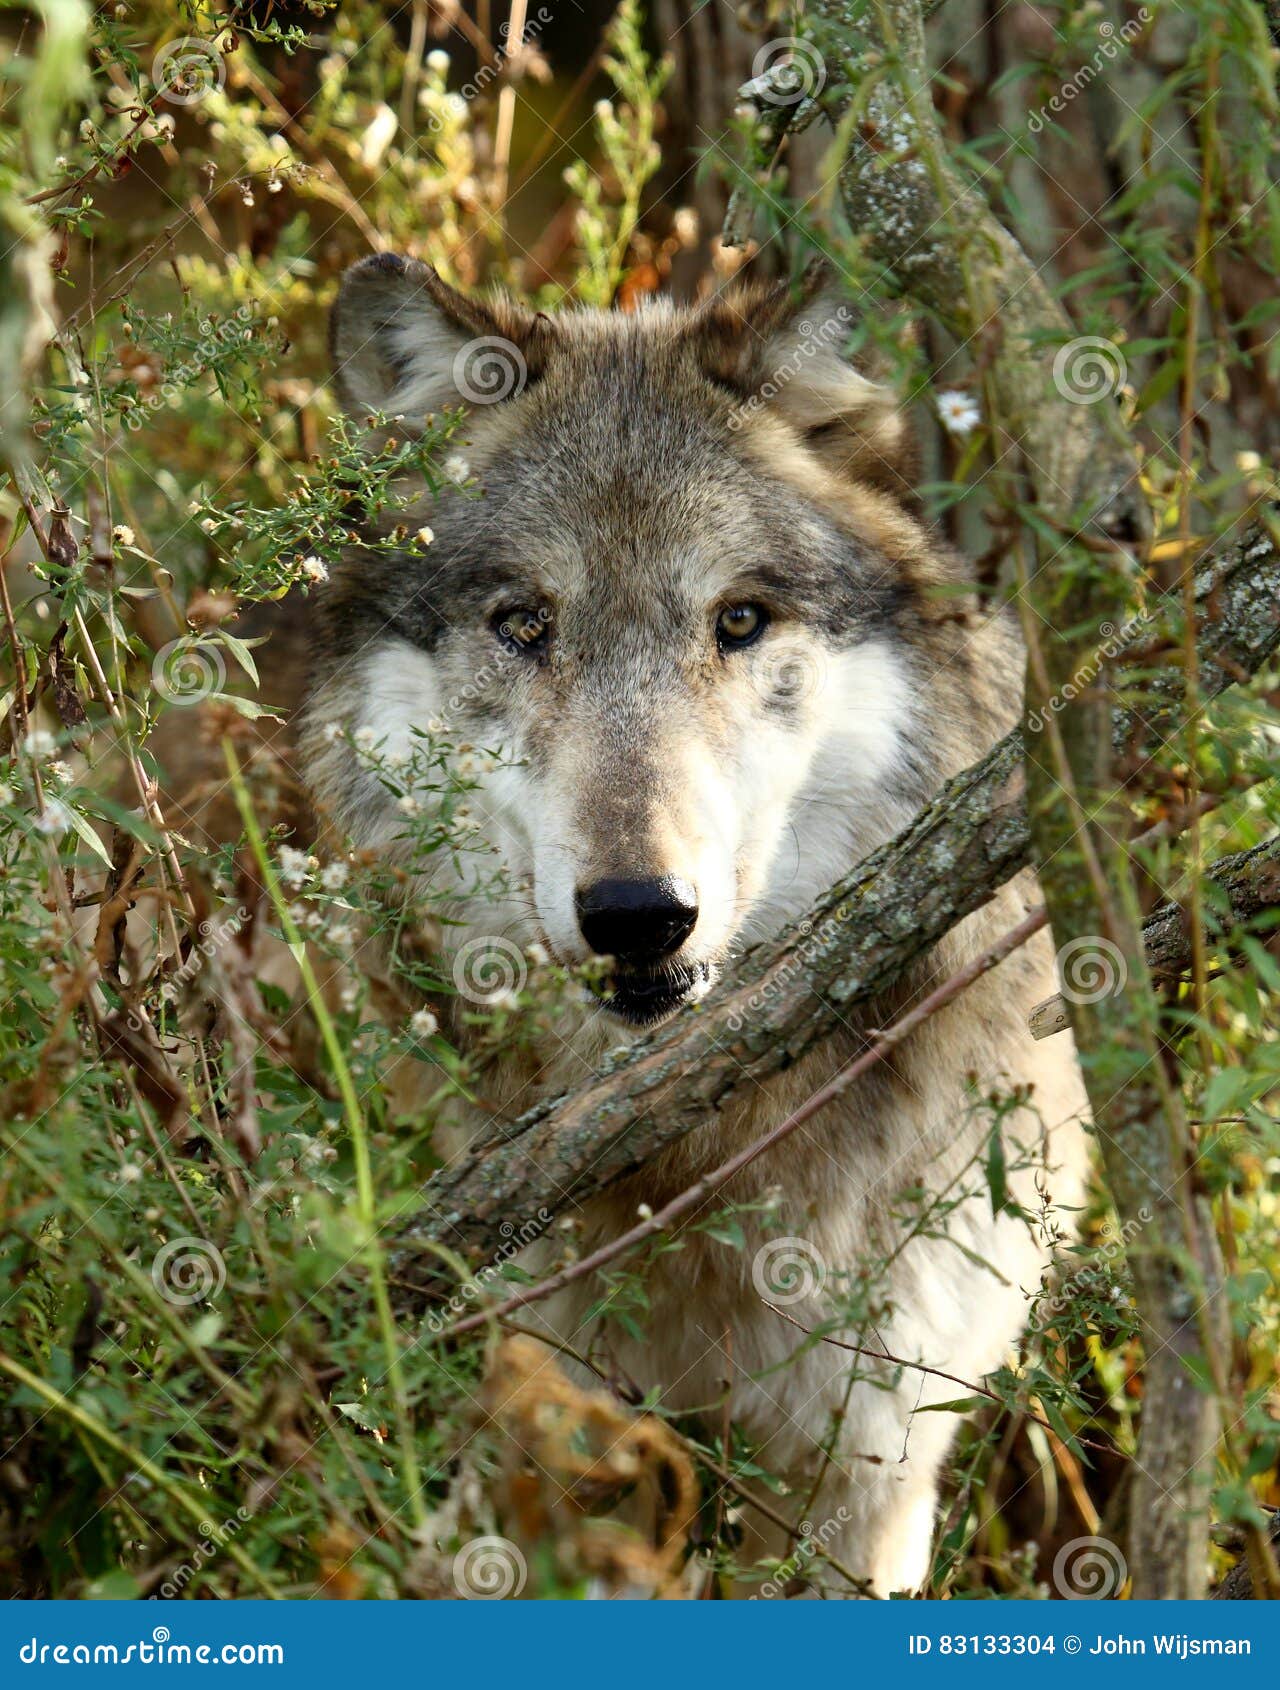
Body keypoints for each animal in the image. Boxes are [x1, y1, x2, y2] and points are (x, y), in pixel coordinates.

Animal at [301, 253, 1090, 1597]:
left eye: (738, 621)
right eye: (524, 624)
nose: (636, 917)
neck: (698, 1154)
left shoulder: (865, 1460)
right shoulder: (547, 1403)